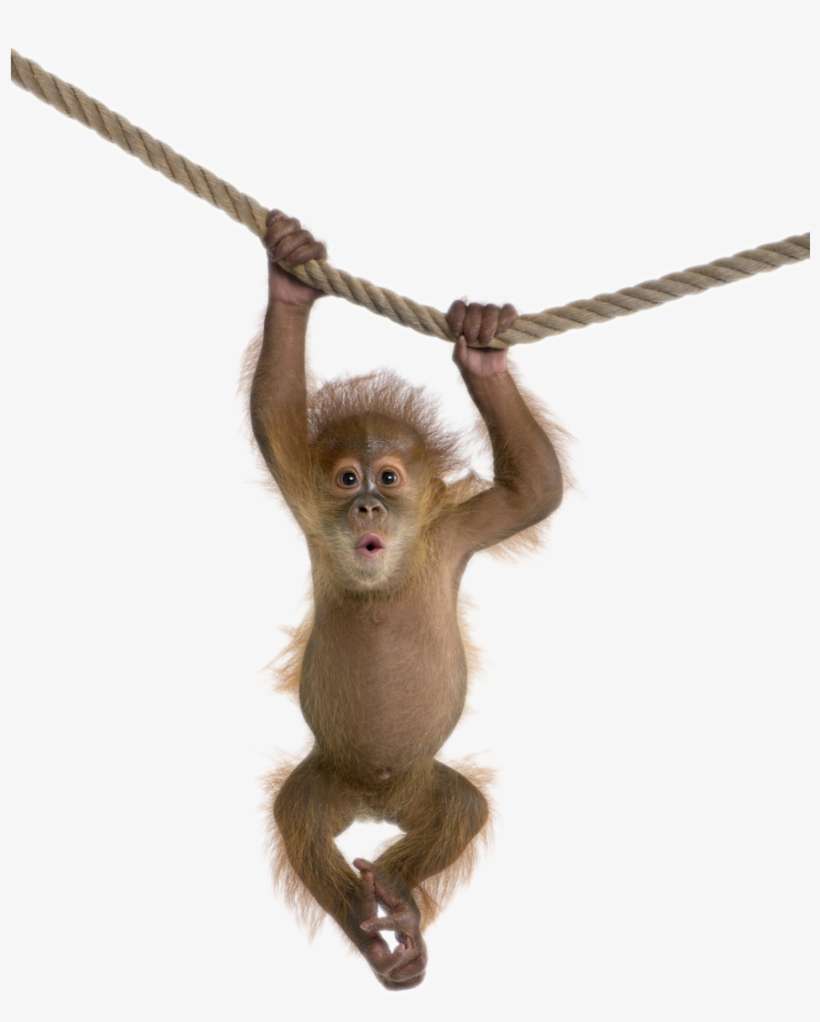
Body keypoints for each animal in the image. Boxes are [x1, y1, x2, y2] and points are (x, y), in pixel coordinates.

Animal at [249, 210, 565, 989]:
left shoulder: (456, 532)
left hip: (422, 787)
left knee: (462, 810)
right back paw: (372, 930)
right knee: (299, 823)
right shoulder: (305, 498)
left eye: (388, 478)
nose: (366, 506)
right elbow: (273, 415)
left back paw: (394, 897)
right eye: (346, 479)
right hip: (328, 780)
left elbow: (535, 489)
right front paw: (290, 276)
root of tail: (376, 801)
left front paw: (481, 346)